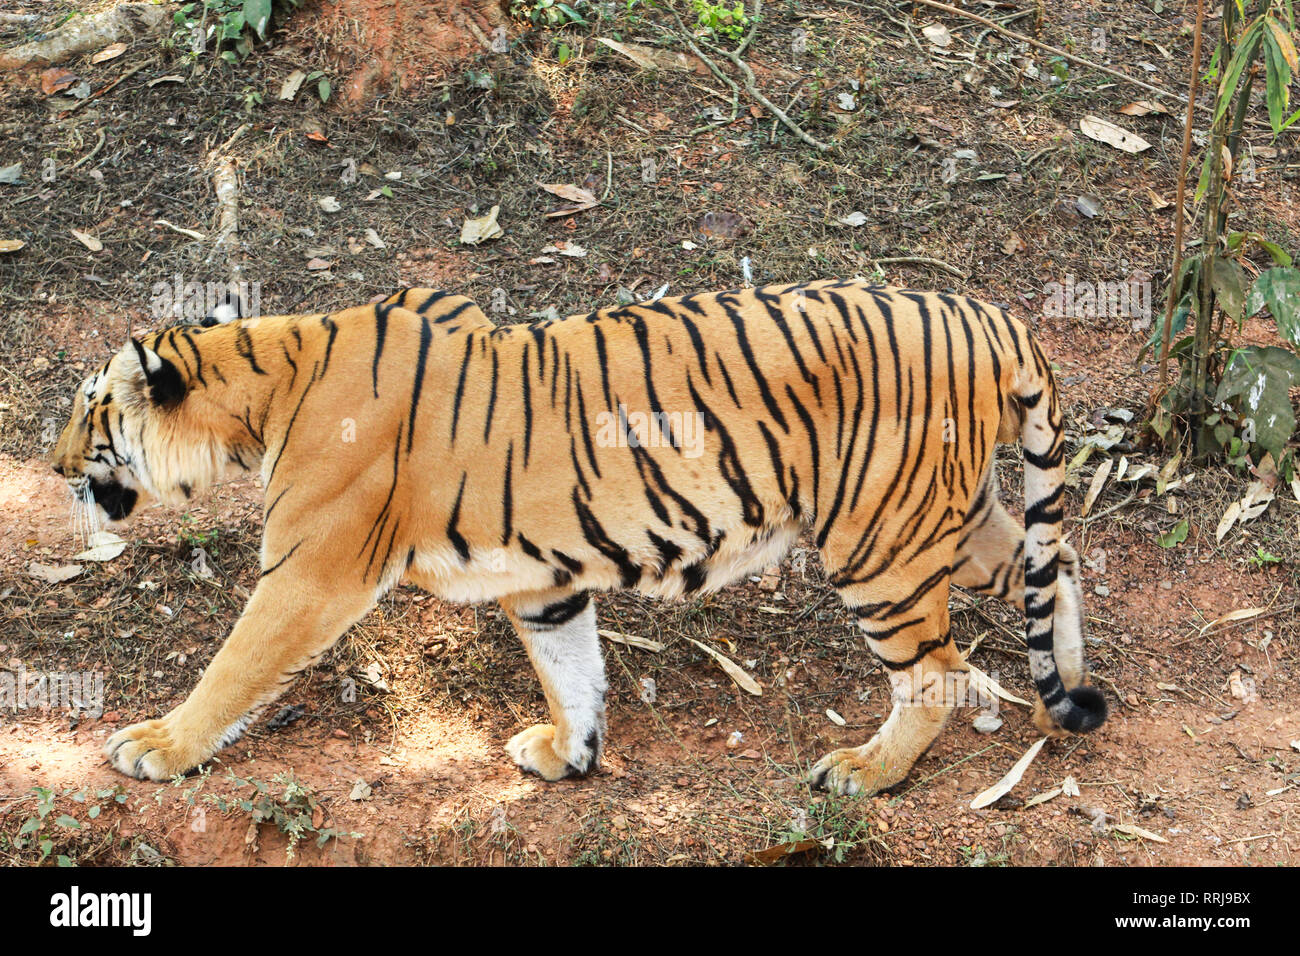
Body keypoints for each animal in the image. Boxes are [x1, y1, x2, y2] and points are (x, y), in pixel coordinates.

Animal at [51, 278, 1106, 794]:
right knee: (1055, 566)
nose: (54, 465)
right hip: (950, 521)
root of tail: (991, 317)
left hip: (876, 542)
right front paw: (572, 756)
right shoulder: (542, 582)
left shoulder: (311, 572)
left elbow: (234, 665)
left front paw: (156, 746)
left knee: (937, 674)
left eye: (88, 410)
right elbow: (573, 669)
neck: (264, 383)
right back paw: (1065, 693)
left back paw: (865, 774)